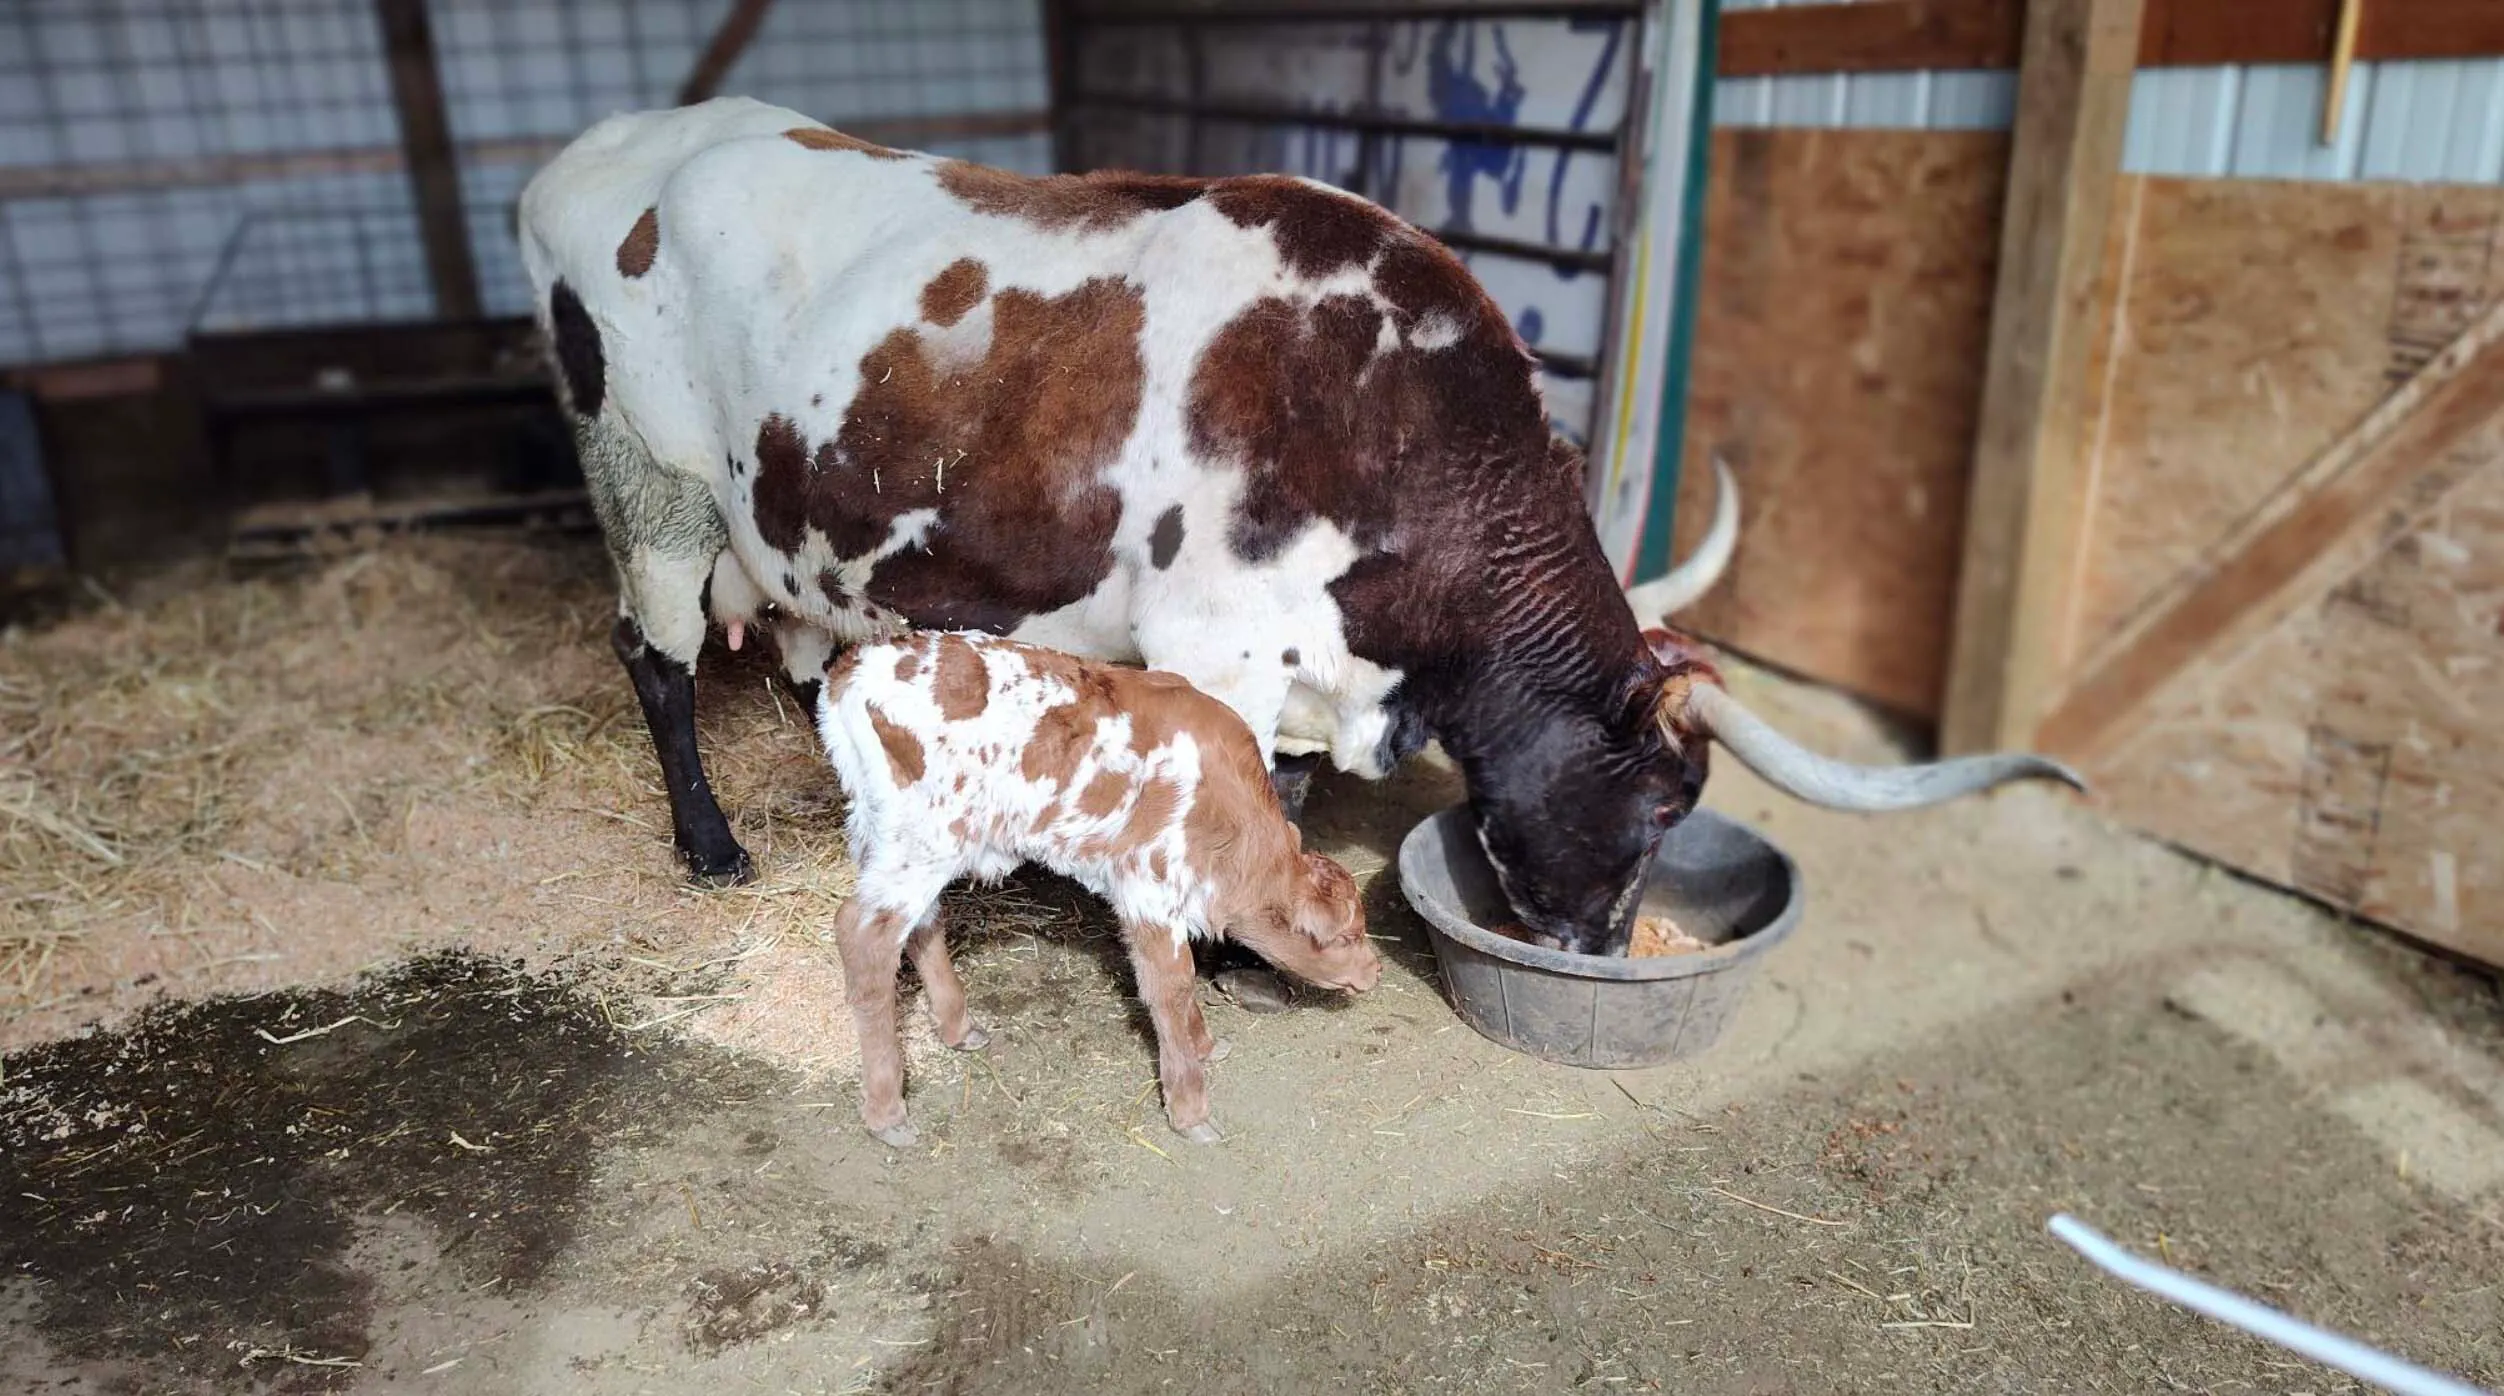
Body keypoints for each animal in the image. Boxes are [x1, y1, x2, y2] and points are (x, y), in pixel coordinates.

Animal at [516, 97, 2078, 960]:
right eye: (1658, 807)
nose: (1598, 943)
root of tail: (598, 155)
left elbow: (1293, 793)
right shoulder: (1210, 646)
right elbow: (1227, 793)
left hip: (785, 524)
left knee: (805, 650)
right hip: (648, 487)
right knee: (654, 661)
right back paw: (710, 846)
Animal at [817, 629, 1380, 1146]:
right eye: (1344, 937)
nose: (1373, 970)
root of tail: (856, 664)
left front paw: (1201, 1044)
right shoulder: (1147, 886)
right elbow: (1170, 986)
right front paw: (1189, 1107)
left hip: (887, 835)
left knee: (919, 923)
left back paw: (957, 1028)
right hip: (923, 840)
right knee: (863, 935)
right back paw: (887, 1112)